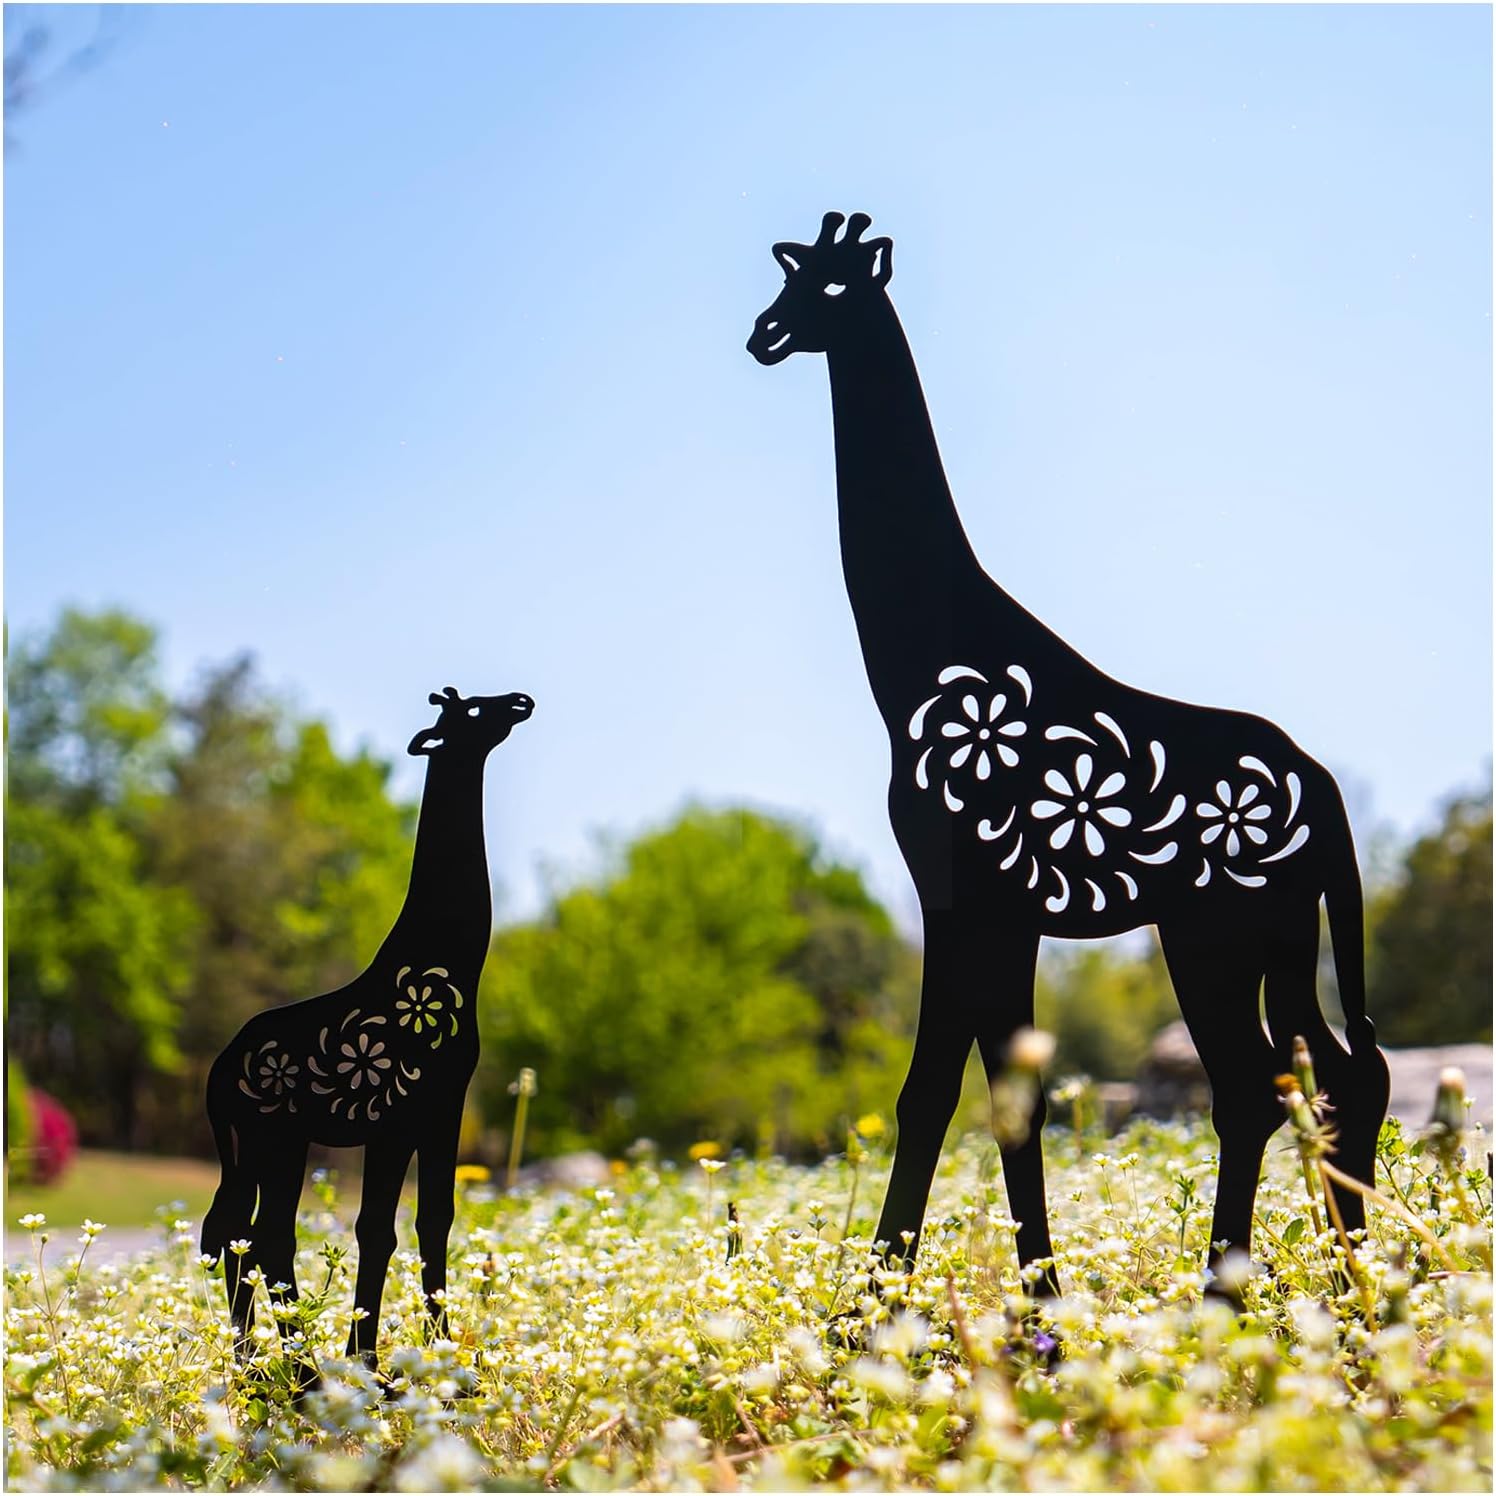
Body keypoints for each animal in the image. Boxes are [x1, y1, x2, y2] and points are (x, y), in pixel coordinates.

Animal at [201, 686, 534, 1380]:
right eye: (468, 711)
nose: (520, 701)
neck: (449, 967)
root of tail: (217, 1073)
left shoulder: (445, 1109)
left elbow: (437, 1219)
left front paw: (447, 1359)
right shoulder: (392, 1117)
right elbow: (376, 1227)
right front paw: (371, 1364)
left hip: (259, 1140)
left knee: (234, 1228)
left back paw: (257, 1367)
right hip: (274, 1134)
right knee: (263, 1232)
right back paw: (300, 1372)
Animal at [747, 211, 1390, 1294]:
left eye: (831, 291)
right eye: (792, 283)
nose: (763, 333)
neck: (917, 662)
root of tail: (1326, 791)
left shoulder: (962, 894)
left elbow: (939, 1093)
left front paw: (879, 1314)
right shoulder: (997, 911)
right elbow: (997, 1097)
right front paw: (1024, 1307)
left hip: (1216, 930)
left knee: (1265, 1086)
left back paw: (1247, 1300)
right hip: (1276, 930)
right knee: (1334, 1072)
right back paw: (1356, 1296)